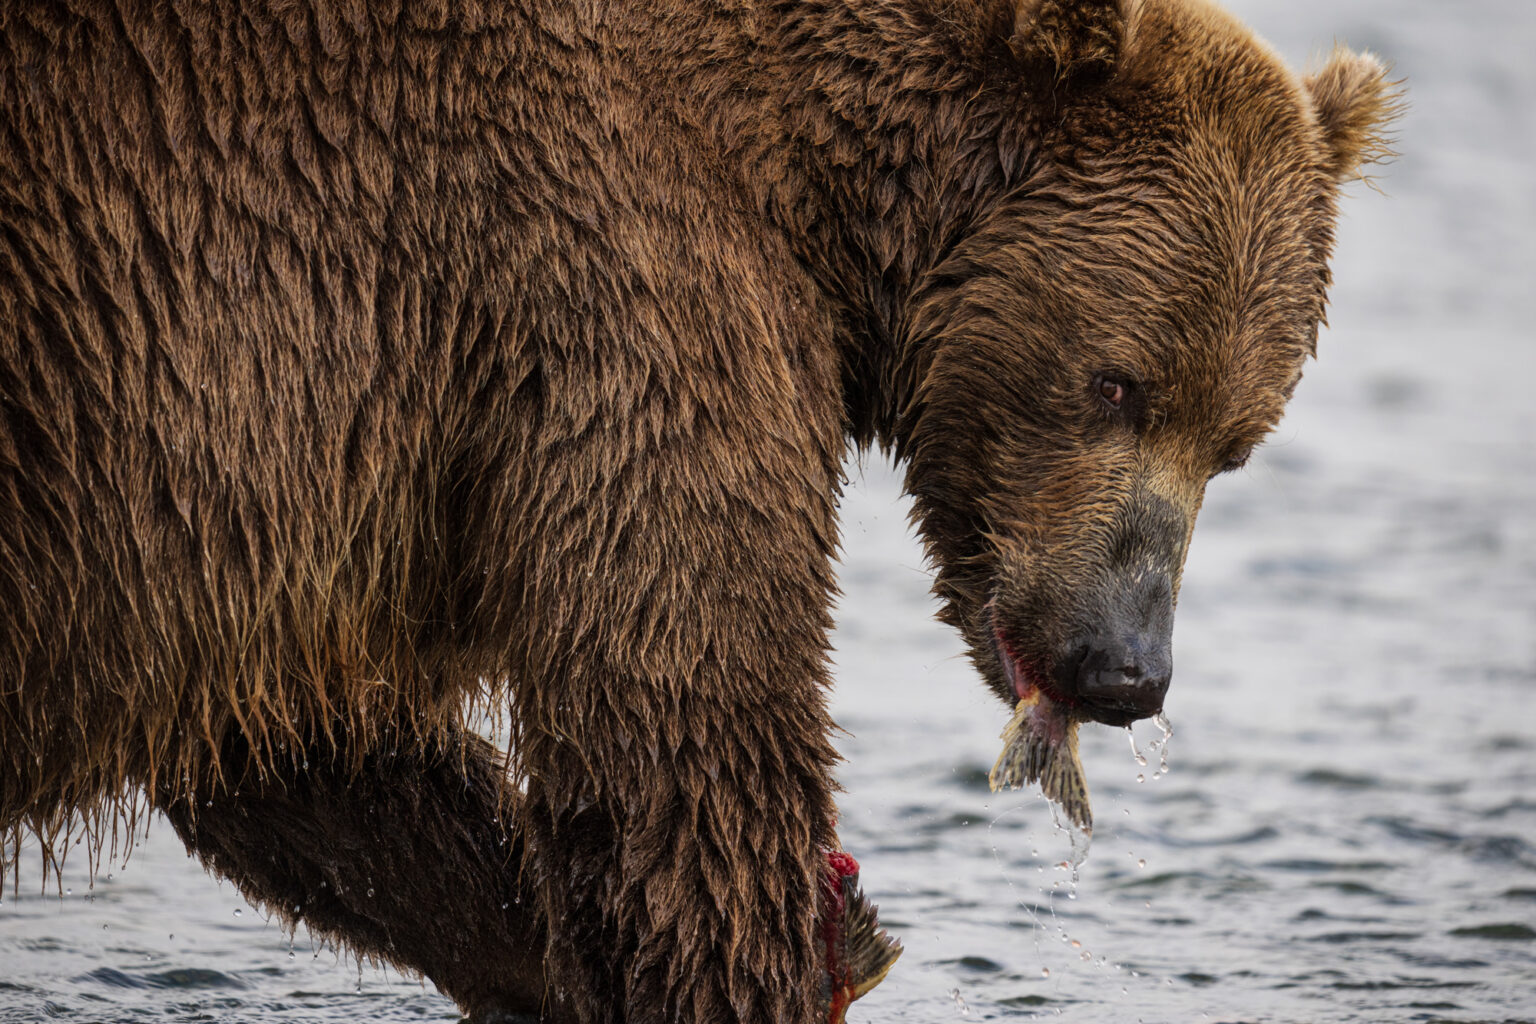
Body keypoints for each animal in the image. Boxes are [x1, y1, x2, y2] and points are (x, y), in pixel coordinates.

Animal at [0, 0, 1397, 1021]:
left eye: (1237, 441)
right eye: (1116, 382)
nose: (1125, 669)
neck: (838, 199)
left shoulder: (285, 489)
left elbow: (306, 745)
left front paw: (833, 933)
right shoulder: (628, 276)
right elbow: (681, 716)